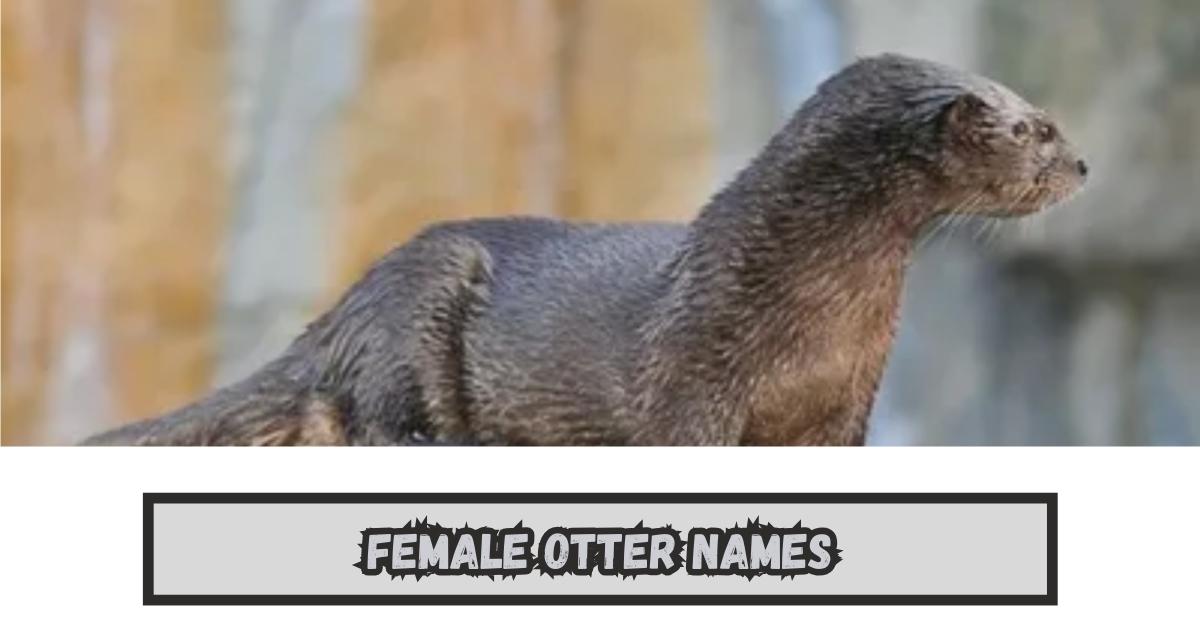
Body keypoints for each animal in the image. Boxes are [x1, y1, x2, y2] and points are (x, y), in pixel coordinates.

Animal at [84, 54, 1087, 446]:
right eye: (1036, 129)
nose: (1082, 163)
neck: (820, 309)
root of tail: (338, 317)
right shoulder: (694, 374)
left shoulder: (847, 400)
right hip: (415, 315)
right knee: (388, 417)